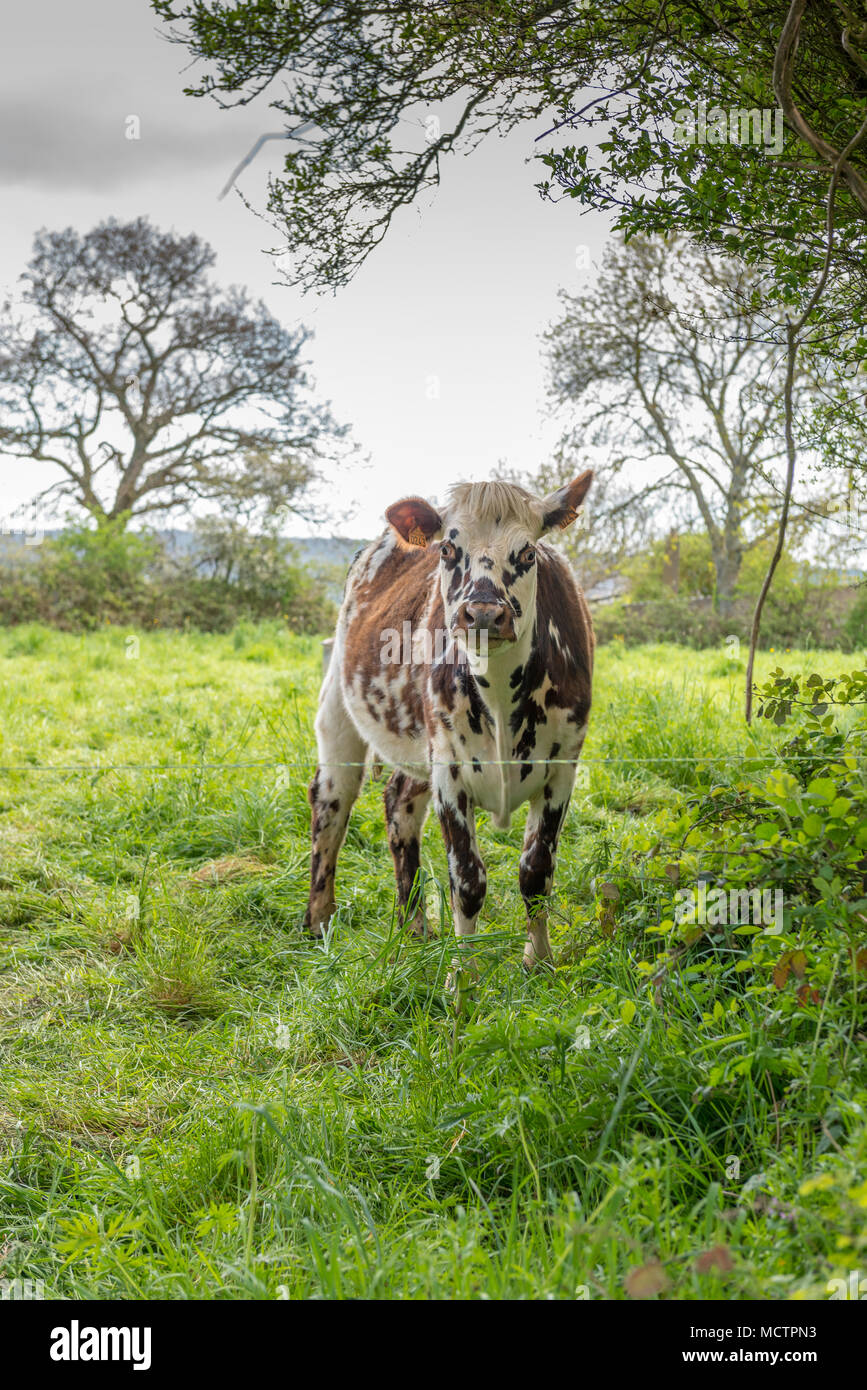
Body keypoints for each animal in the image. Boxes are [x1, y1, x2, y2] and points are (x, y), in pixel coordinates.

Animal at [304, 472, 594, 976]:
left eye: (528, 552)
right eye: (447, 549)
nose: (483, 613)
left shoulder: (562, 770)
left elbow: (536, 873)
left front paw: (539, 962)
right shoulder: (450, 774)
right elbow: (468, 881)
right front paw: (463, 977)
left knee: (398, 802)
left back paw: (413, 927)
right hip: (339, 706)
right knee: (331, 800)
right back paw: (319, 921)